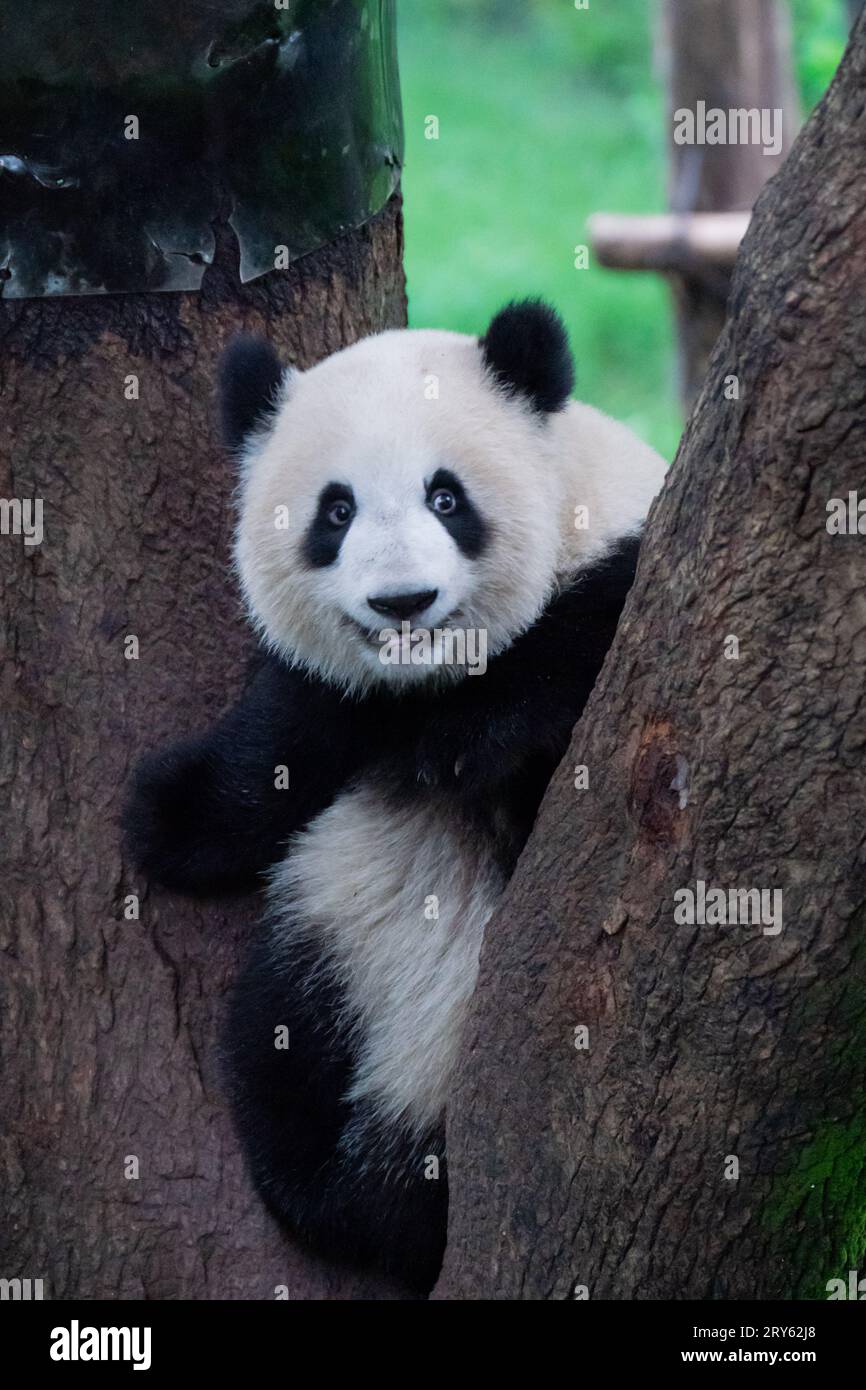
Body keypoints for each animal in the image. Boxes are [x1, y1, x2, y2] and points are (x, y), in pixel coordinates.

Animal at [125, 299, 666, 1294]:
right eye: (335, 511)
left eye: (446, 498)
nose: (403, 601)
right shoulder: (342, 701)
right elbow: (291, 738)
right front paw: (174, 809)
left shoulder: (618, 579)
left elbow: (573, 667)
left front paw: (467, 741)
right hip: (336, 943)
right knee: (283, 1038)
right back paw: (324, 1182)